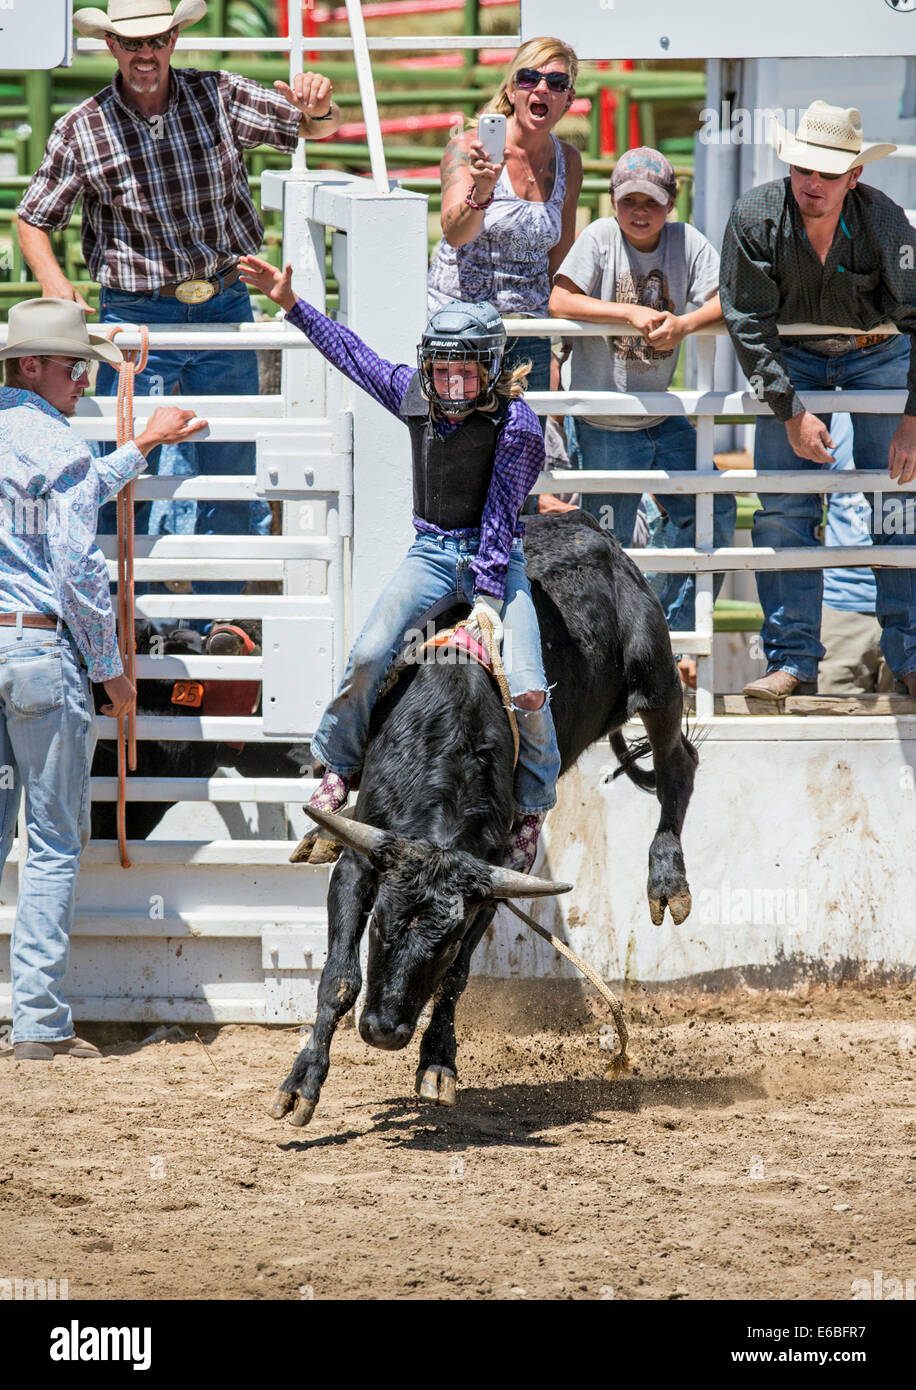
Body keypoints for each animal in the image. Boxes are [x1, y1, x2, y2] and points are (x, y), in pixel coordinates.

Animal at [269, 510, 698, 1126]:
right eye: (380, 926)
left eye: (445, 942)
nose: (383, 1031)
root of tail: (589, 526)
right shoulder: (361, 864)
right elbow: (340, 978)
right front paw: (302, 1083)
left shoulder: (490, 884)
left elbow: (455, 978)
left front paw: (437, 1063)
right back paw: (321, 822)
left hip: (656, 679)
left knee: (677, 764)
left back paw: (667, 879)